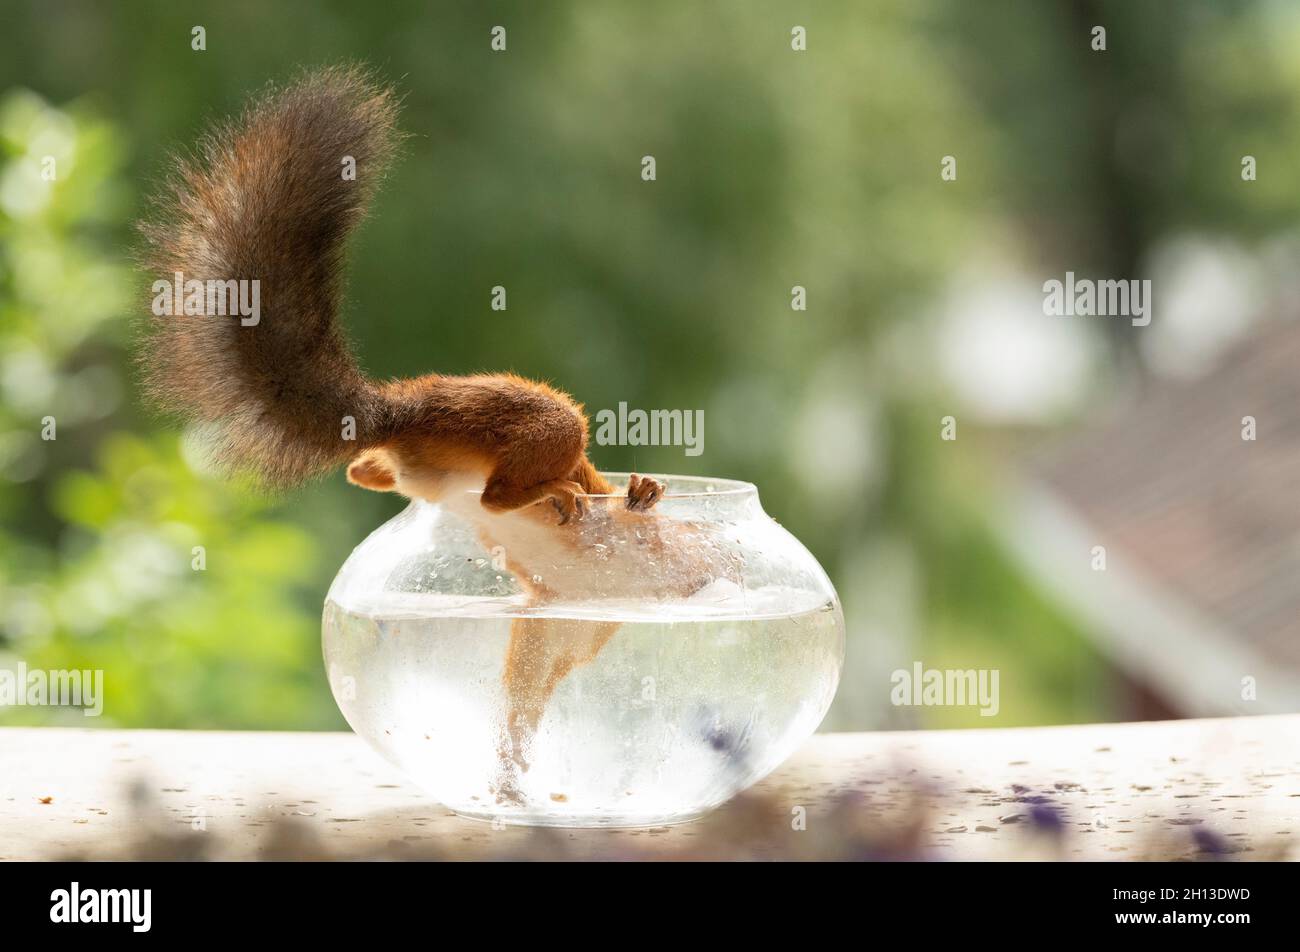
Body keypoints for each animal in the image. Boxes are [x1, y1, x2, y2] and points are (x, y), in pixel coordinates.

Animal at [138, 67, 720, 798]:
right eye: (693, 537)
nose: (713, 572)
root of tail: (406, 410)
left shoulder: (569, 617)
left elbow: (532, 676)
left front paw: (513, 762)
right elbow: (619, 511)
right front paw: (643, 491)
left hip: (424, 463)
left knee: (370, 471)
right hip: (540, 422)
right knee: (504, 492)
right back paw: (555, 494)